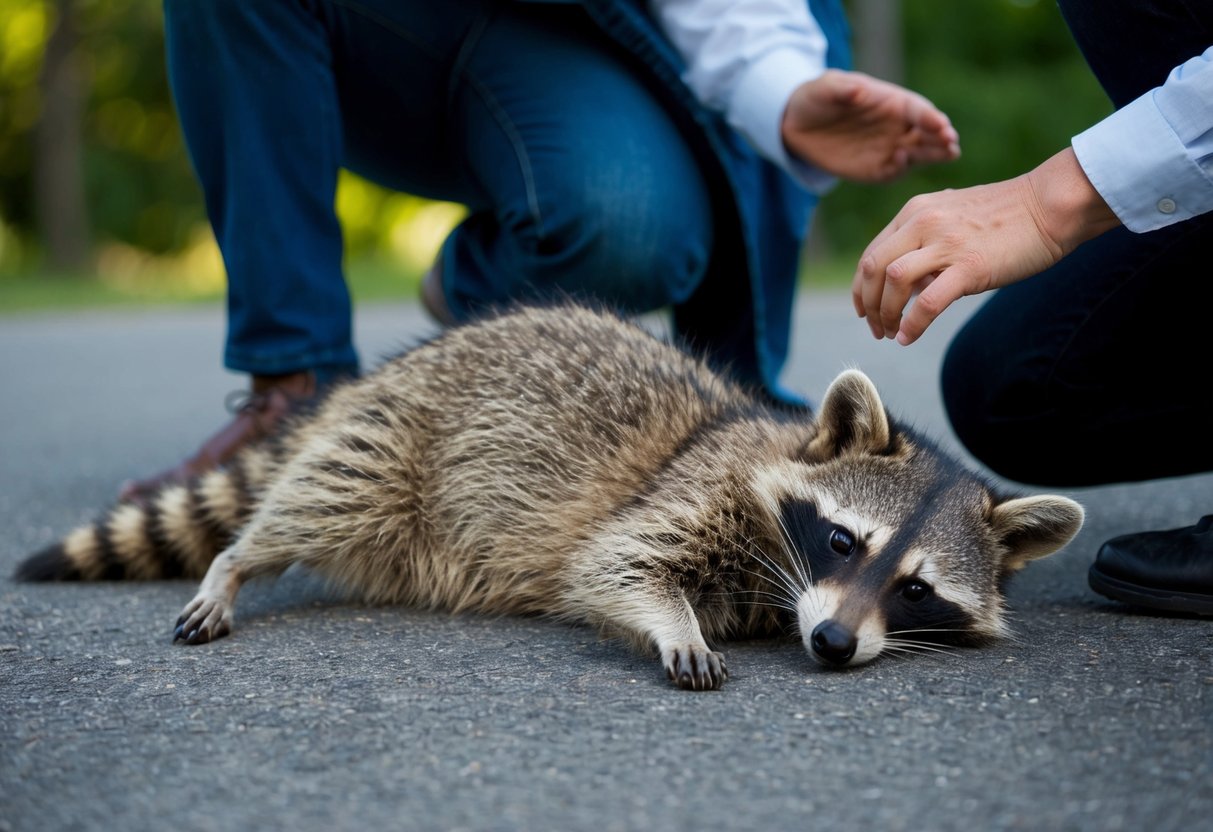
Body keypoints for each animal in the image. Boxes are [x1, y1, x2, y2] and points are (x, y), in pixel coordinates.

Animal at [15, 304, 1083, 690]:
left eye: (916, 588)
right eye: (842, 542)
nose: (828, 643)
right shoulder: (691, 486)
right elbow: (612, 561)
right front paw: (670, 619)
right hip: (396, 441)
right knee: (319, 496)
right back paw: (237, 561)